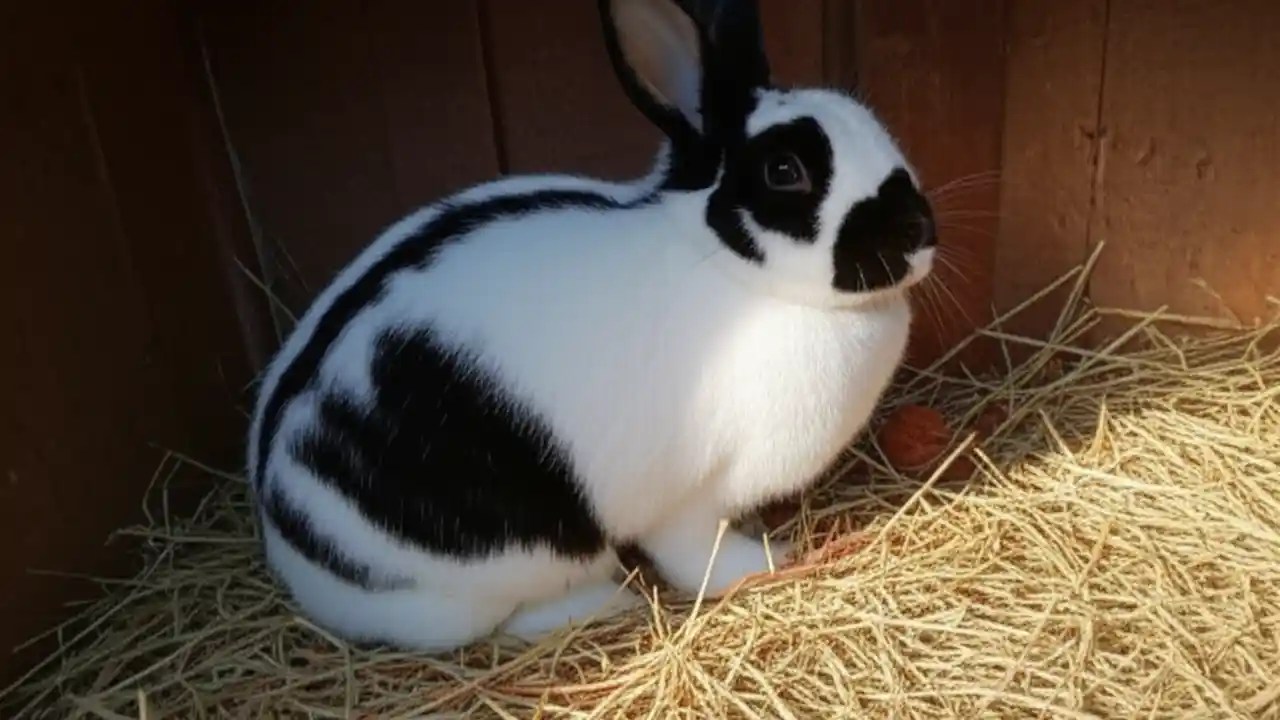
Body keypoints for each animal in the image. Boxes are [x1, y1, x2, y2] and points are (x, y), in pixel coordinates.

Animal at [246, 0, 937, 652]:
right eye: (785, 171)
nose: (920, 232)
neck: (733, 269)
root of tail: (284, 545)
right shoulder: (687, 502)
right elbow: (699, 557)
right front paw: (770, 560)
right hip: (496, 565)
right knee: (517, 614)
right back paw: (609, 602)